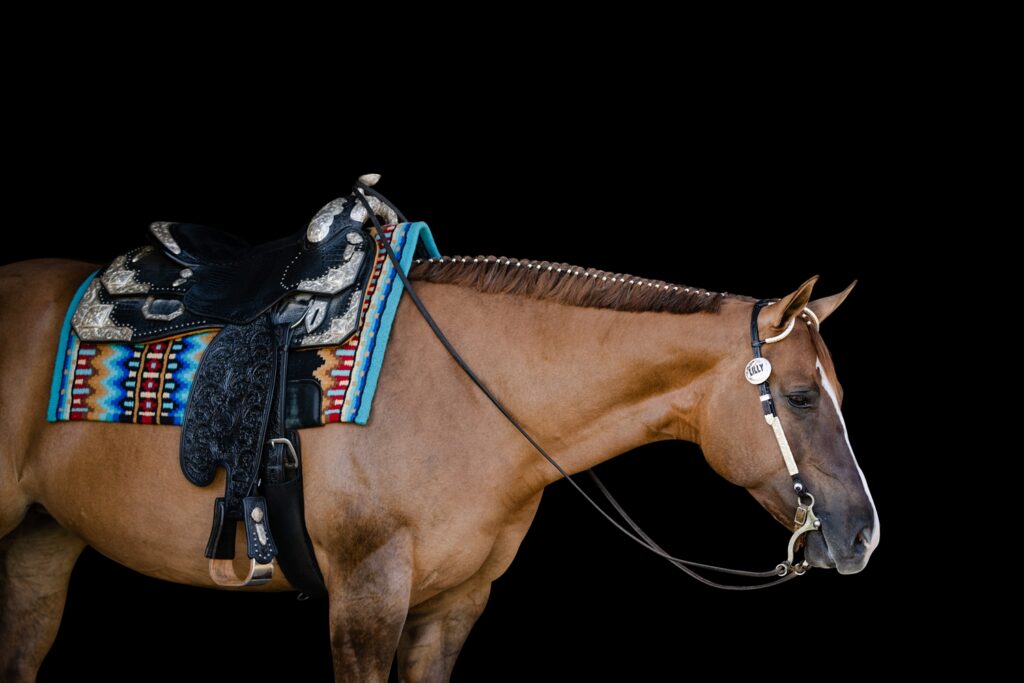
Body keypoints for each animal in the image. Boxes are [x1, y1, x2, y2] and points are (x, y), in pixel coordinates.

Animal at [0, 254, 878, 682]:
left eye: (837, 393)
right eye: (800, 396)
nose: (863, 534)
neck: (464, 396)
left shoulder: (452, 608)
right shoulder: (365, 598)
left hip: (41, 544)